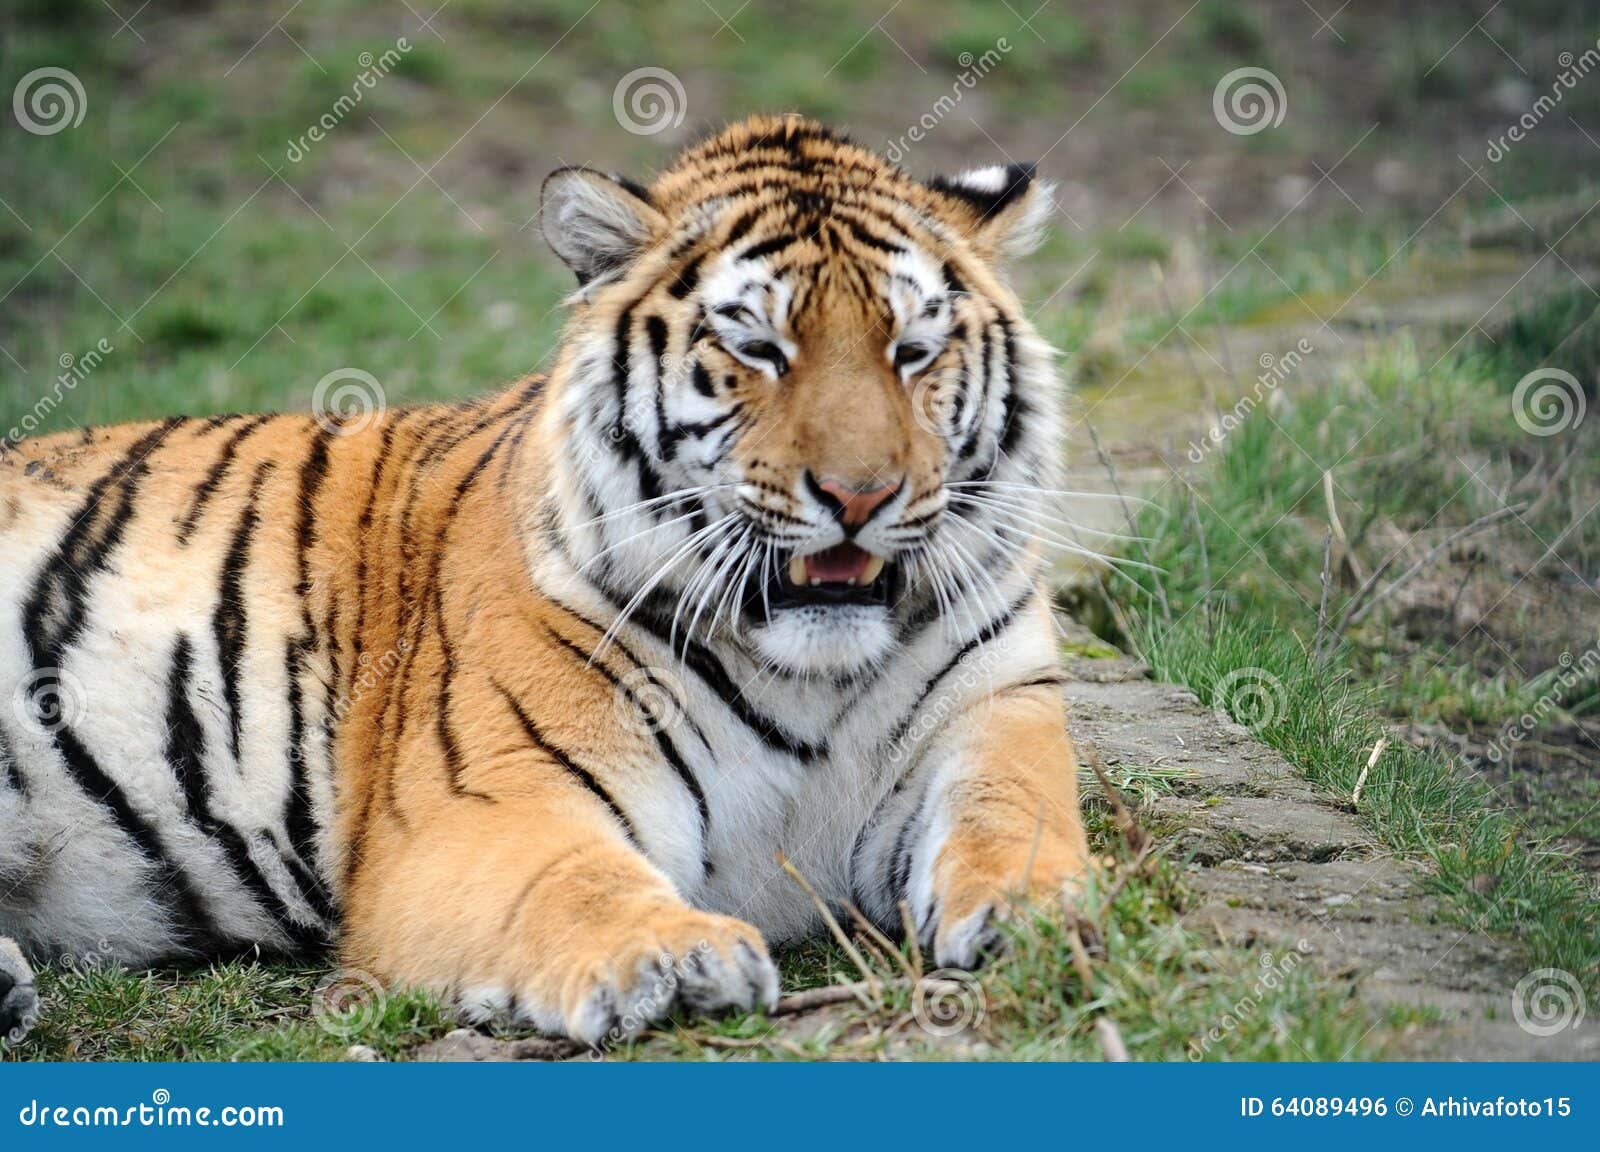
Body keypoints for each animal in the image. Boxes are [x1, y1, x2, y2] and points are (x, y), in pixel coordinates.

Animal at [0, 114, 1089, 1048]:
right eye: (757, 349)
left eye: (912, 351)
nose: (860, 495)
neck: (807, 674)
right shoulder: (490, 800)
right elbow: (574, 881)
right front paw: (675, 958)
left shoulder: (994, 712)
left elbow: (1011, 816)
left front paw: (1041, 911)